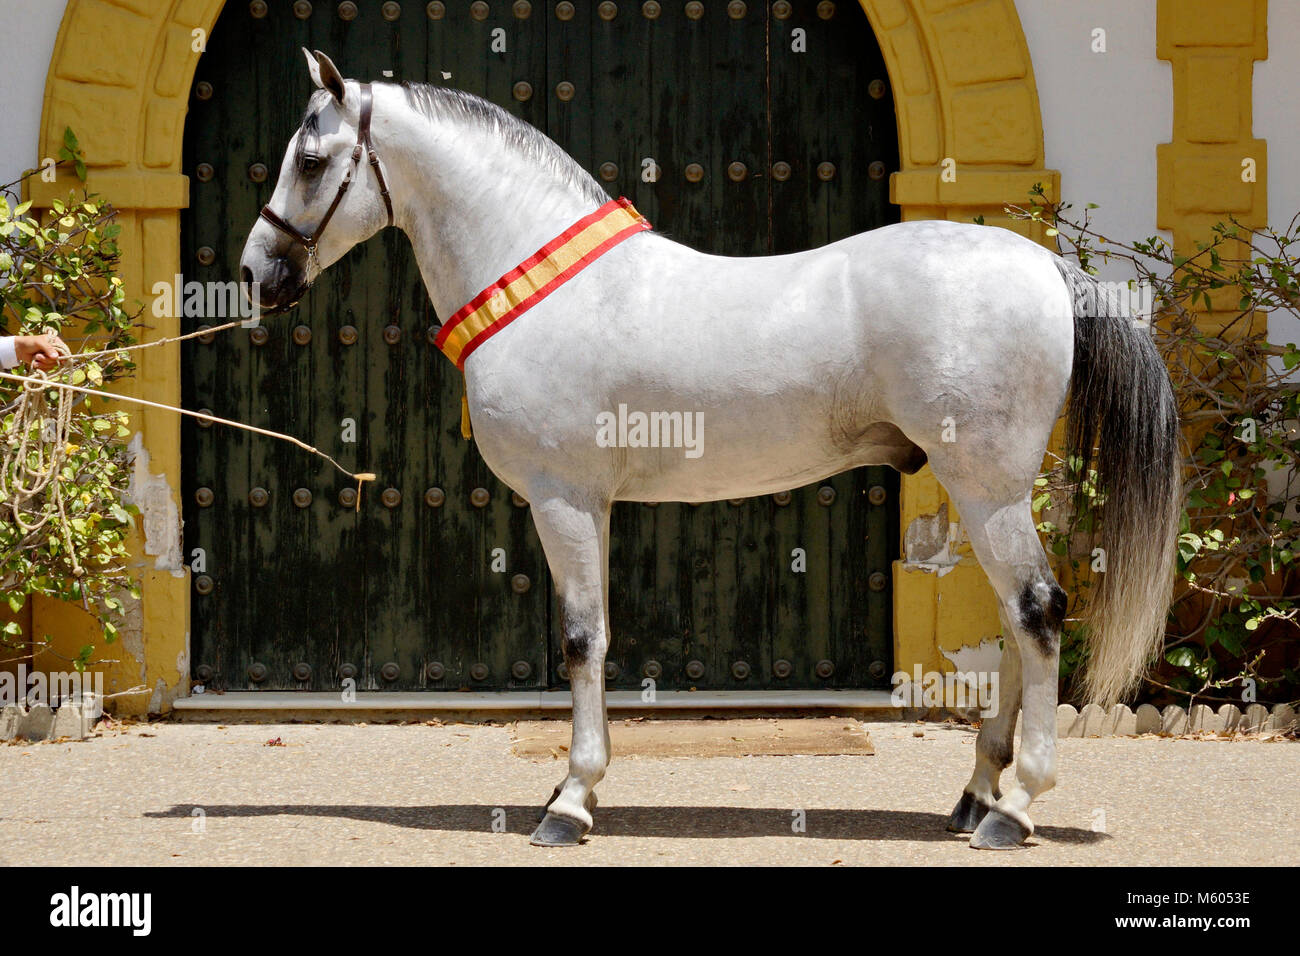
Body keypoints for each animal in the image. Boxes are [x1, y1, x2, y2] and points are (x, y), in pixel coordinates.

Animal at [238, 50, 1181, 849]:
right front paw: (572, 789)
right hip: (985, 490)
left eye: (312, 160)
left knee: (1039, 614)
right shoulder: (591, 504)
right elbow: (597, 636)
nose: (257, 274)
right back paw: (975, 795)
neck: (546, 284)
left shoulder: (563, 498)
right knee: (1017, 622)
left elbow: (581, 638)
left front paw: (570, 803)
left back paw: (1015, 808)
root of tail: (1046, 268)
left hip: (986, 489)